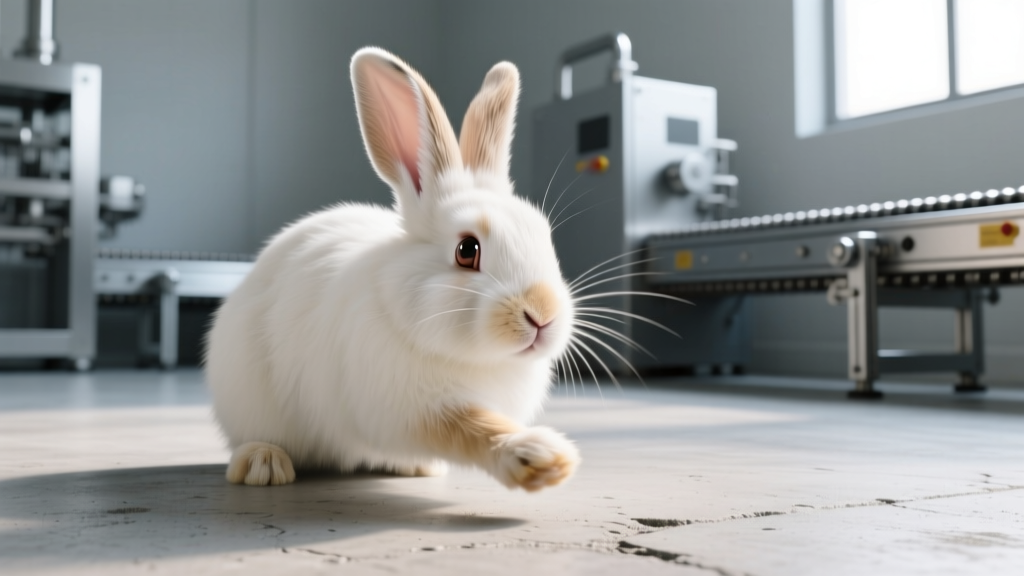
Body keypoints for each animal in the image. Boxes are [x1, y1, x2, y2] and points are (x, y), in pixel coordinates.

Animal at [204, 46, 580, 492]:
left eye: (544, 235)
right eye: (467, 250)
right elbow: (472, 427)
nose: (543, 314)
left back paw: (418, 467)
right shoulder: (409, 409)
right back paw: (263, 464)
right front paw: (540, 456)